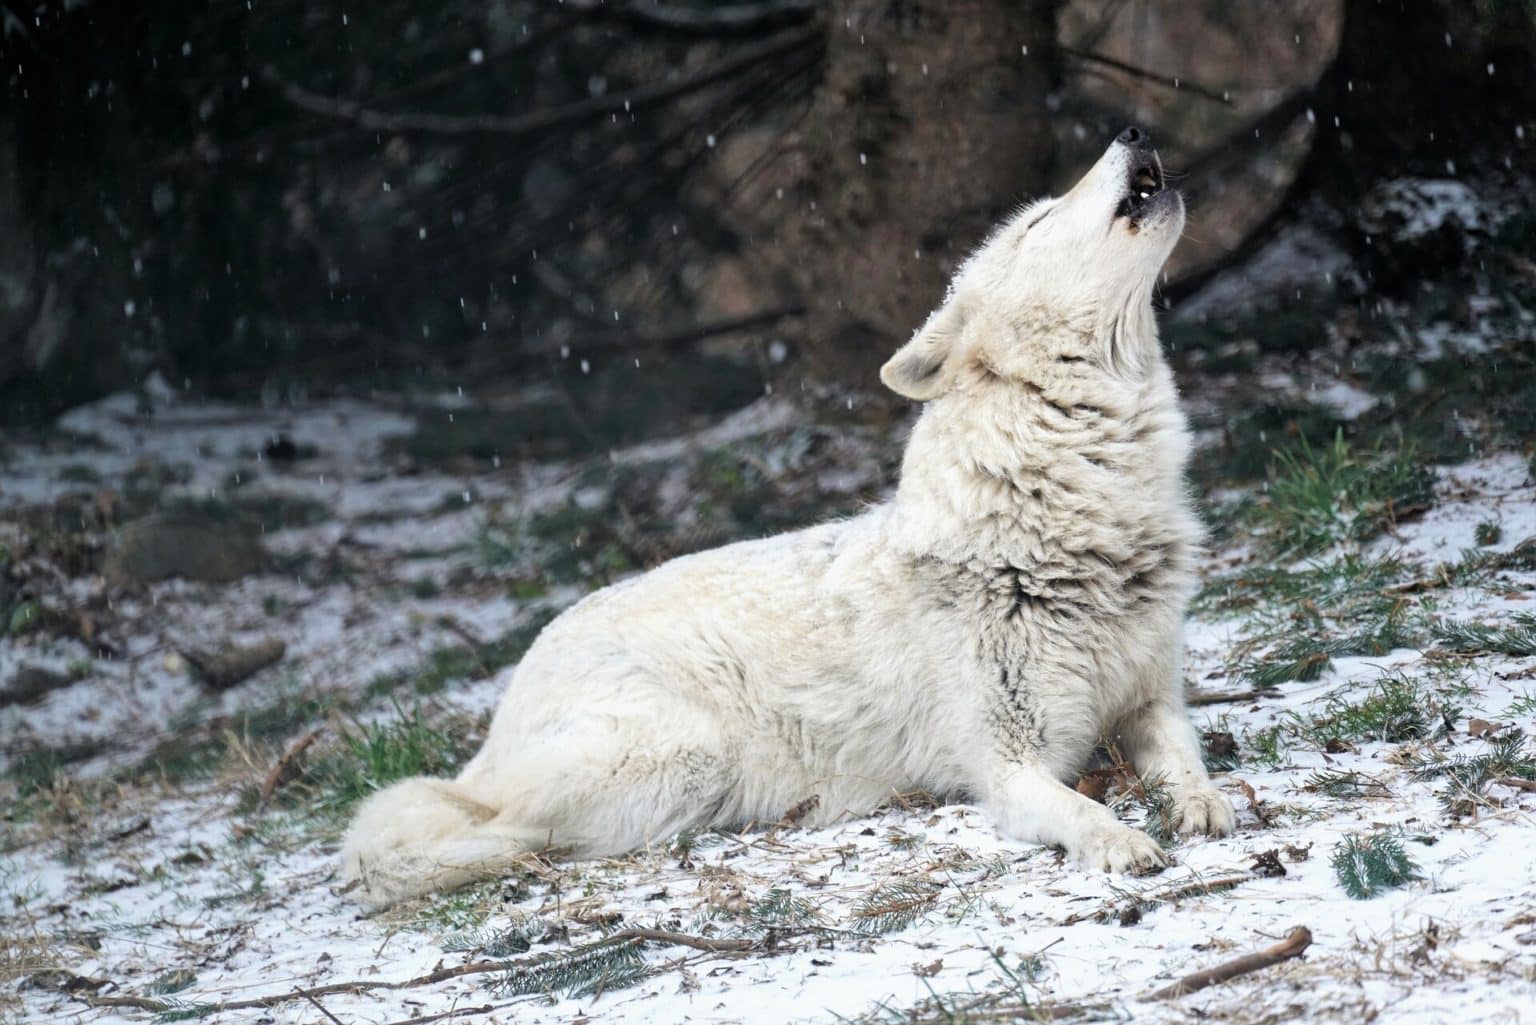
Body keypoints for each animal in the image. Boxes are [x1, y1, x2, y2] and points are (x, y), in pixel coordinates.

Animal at [342, 127, 1236, 908]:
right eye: (1038, 222)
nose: (1132, 131)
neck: (1077, 519)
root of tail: (494, 726)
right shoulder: (1007, 765)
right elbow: (1080, 806)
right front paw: (1122, 840)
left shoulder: (1148, 701)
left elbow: (1184, 755)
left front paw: (1202, 802)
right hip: (683, 754)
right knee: (509, 831)